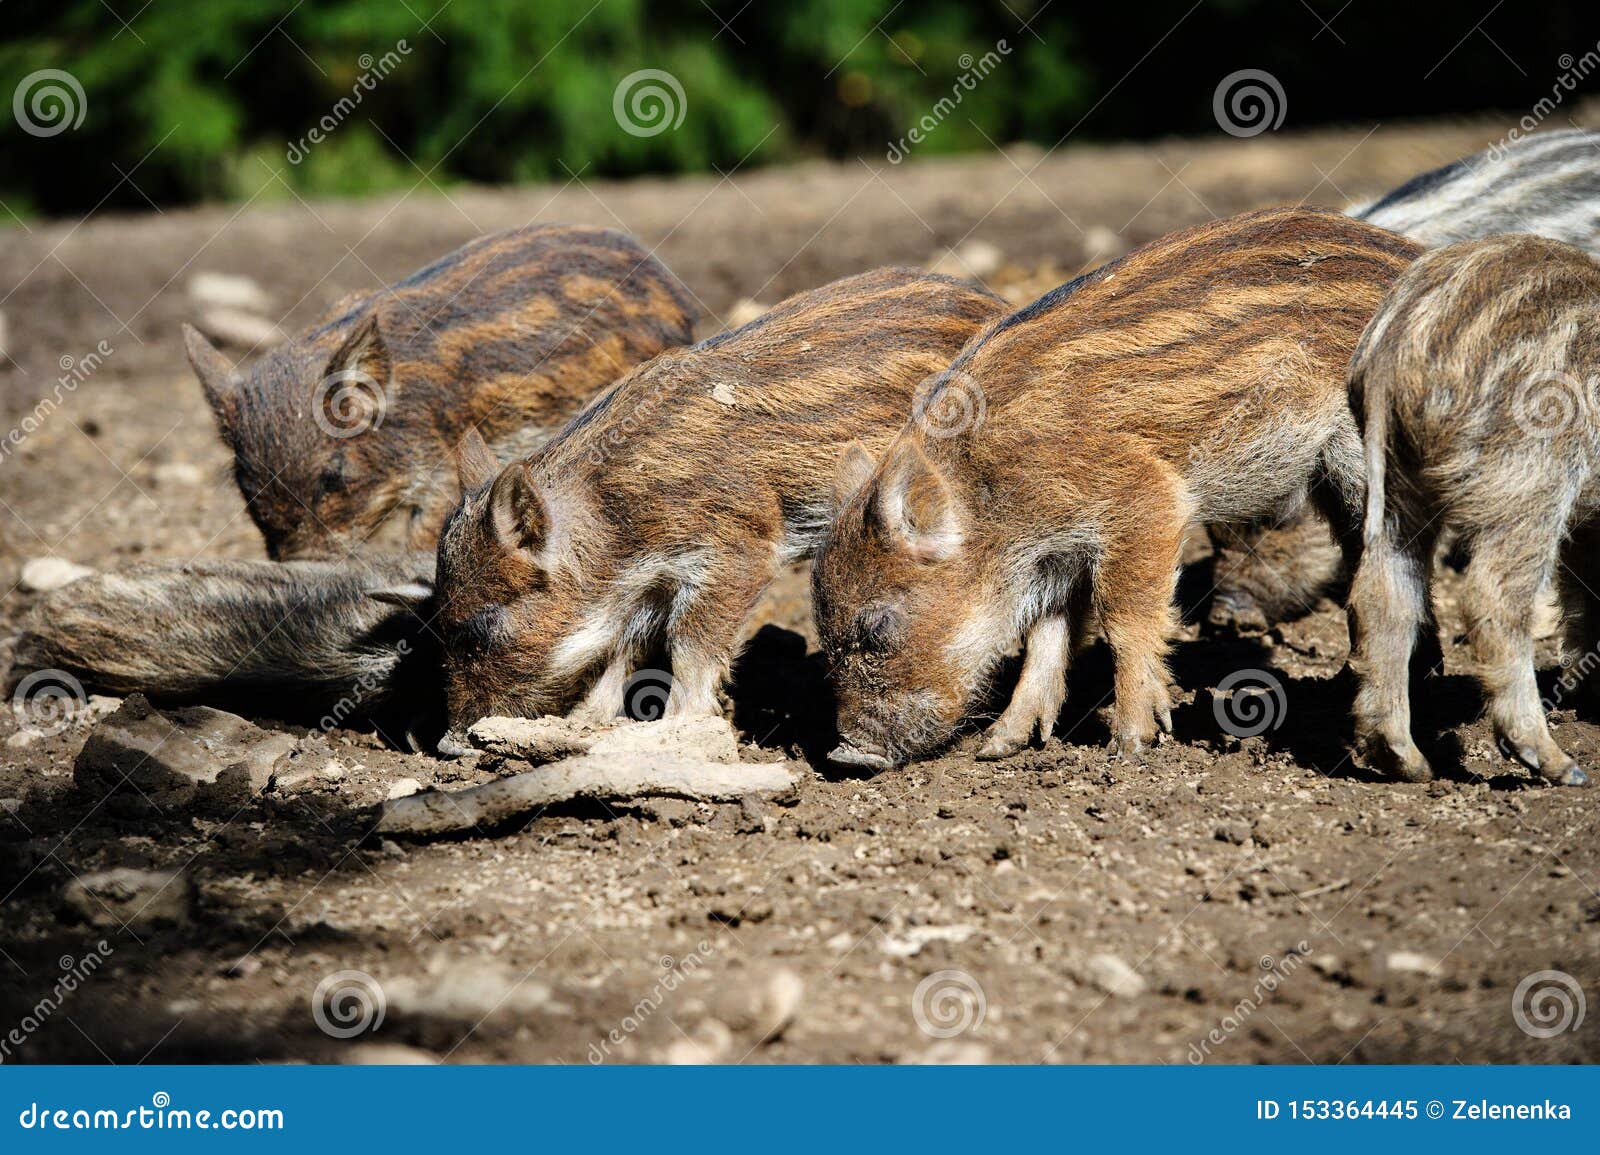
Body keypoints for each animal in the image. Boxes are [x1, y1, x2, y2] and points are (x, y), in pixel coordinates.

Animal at [399, 268, 1008, 740]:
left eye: (480, 628)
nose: (449, 745)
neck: (616, 522)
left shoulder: (733, 552)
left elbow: (689, 648)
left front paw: (676, 729)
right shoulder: (645, 584)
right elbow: (621, 651)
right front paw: (584, 725)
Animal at [813, 208, 1420, 768]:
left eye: (877, 625)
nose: (847, 755)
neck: (987, 492)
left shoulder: (1144, 499)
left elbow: (1123, 622)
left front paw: (1129, 745)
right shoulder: (1055, 555)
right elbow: (1045, 637)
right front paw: (1001, 746)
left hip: (1360, 461)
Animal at [1347, 233, 1599, 787]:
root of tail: (1392, 351)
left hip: (1397, 485)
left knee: (1384, 592)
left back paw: (1407, 761)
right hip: (1530, 478)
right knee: (1493, 597)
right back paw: (1561, 767)